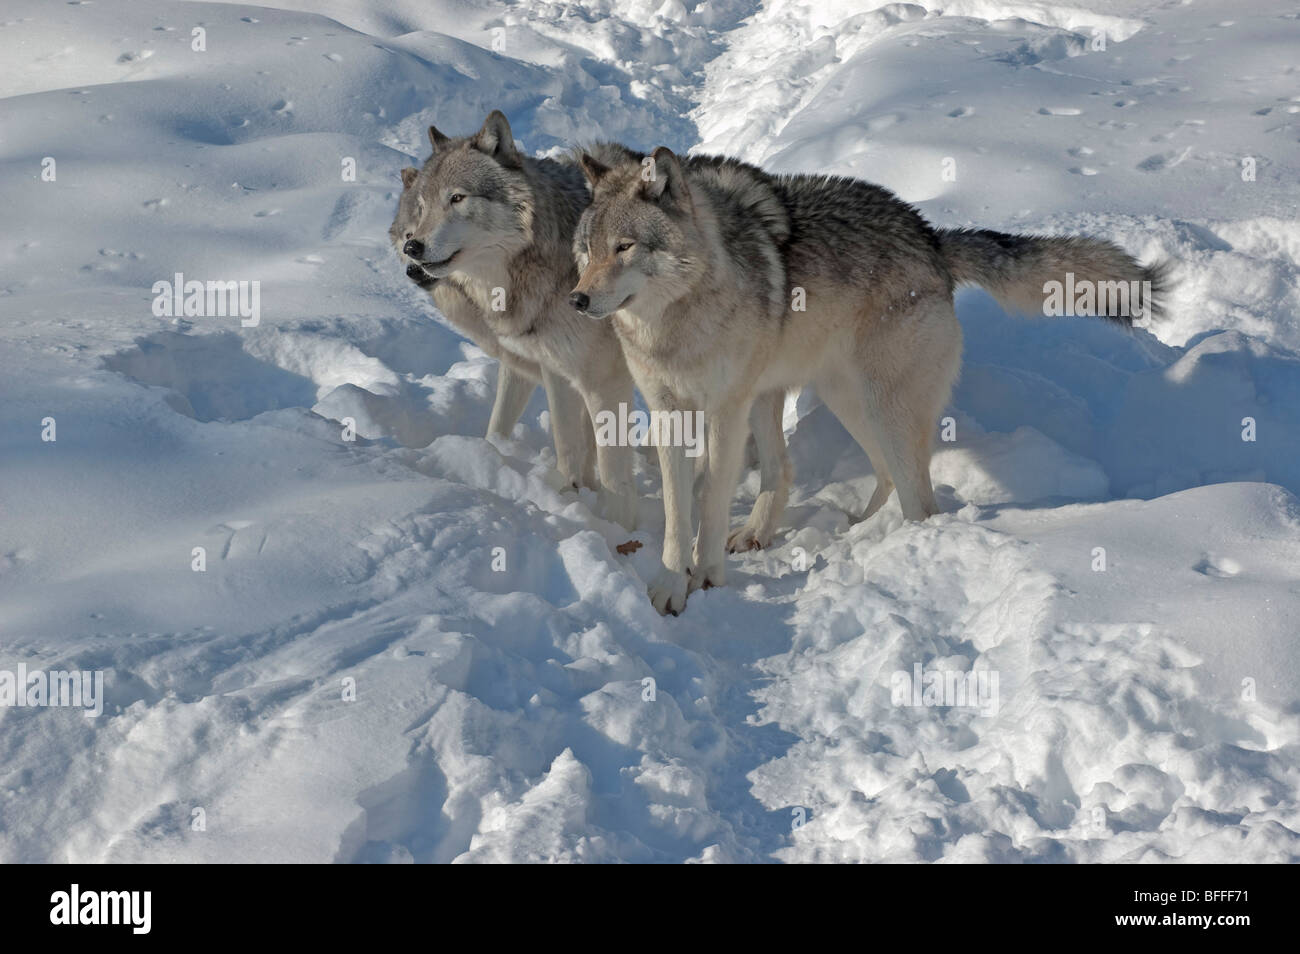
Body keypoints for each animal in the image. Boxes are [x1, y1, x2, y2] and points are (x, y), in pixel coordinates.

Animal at [392, 113, 639, 526]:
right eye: (421, 210)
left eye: (457, 198)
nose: (414, 250)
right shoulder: (550, 370)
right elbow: (547, 438)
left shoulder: (605, 380)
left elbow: (609, 467)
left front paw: (614, 526)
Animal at [570, 147, 1168, 614]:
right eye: (587, 250)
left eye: (625, 247)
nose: (576, 299)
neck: (678, 320)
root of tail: (931, 237)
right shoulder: (670, 411)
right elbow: (678, 513)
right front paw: (671, 587)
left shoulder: (726, 411)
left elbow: (711, 502)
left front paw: (708, 577)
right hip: (840, 400)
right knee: (839, 472)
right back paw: (830, 532)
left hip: (878, 407)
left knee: (919, 499)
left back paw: (891, 549)